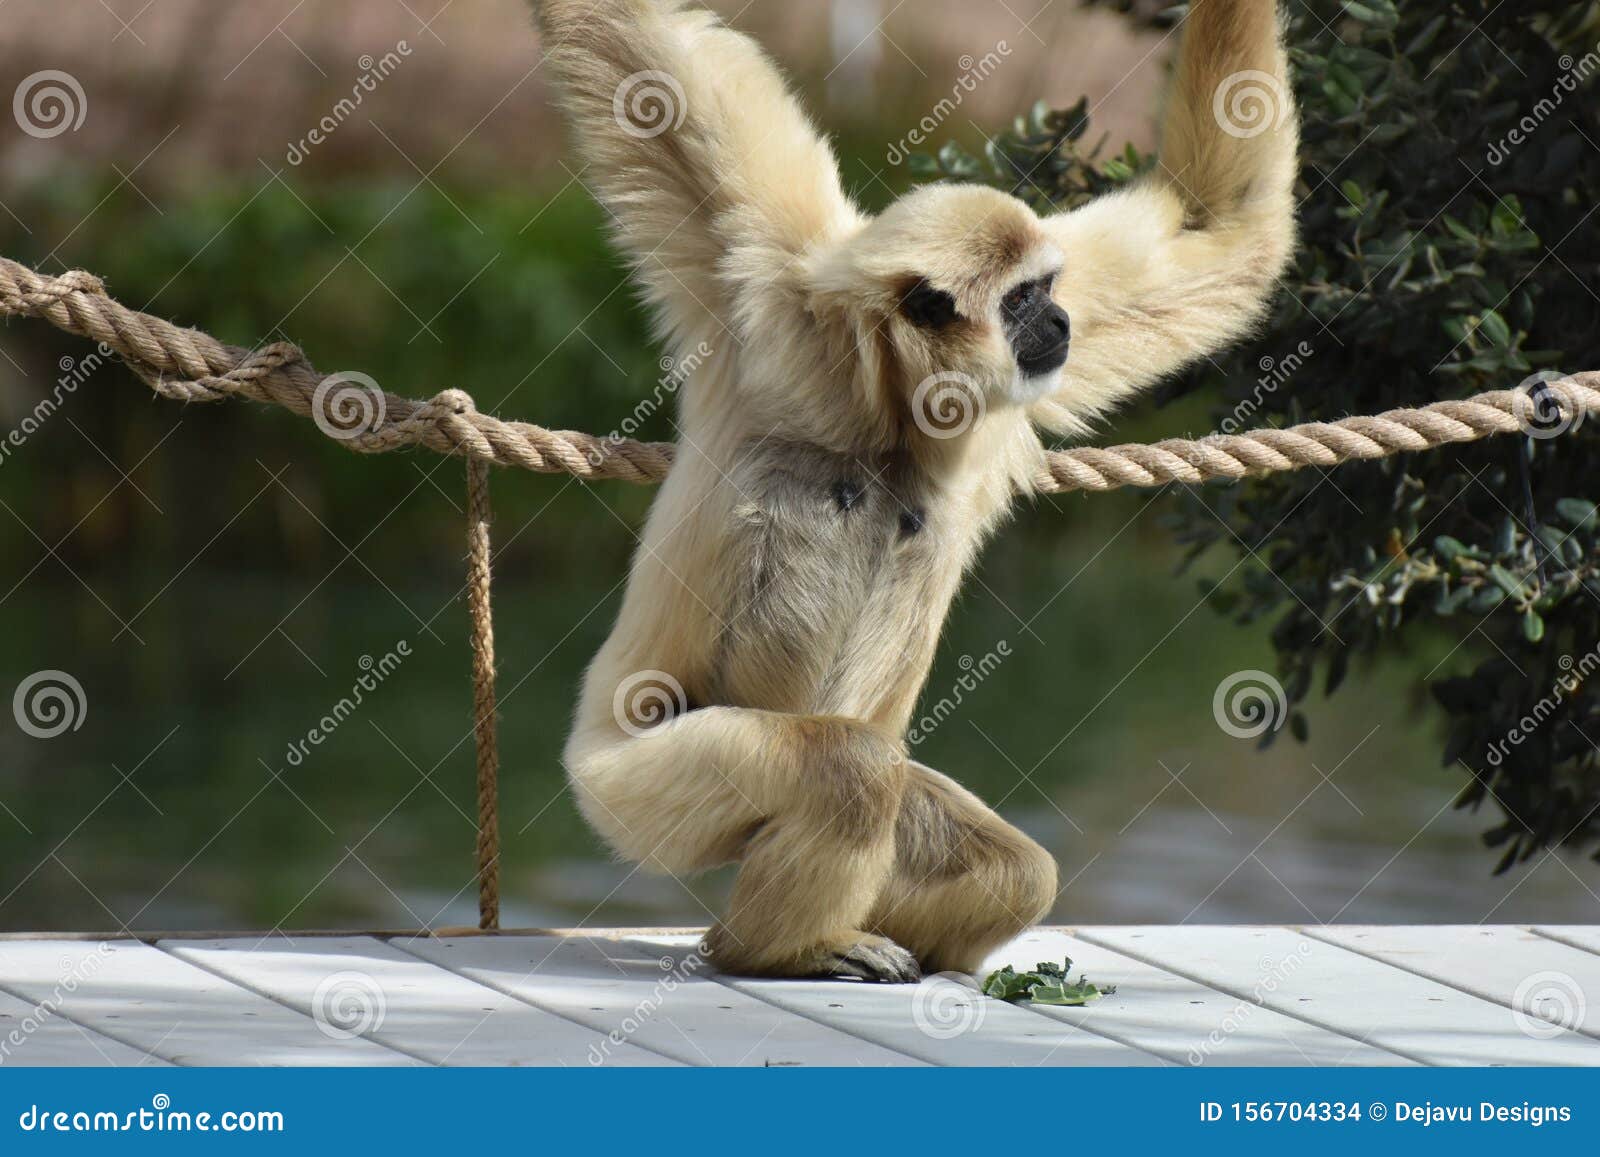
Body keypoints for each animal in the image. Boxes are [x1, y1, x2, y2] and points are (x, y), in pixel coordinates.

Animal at [533, 0, 1299, 981]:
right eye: (1021, 301)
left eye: (1049, 289)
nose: (1060, 320)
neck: (891, 408)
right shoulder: (765, 292)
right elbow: (638, 55)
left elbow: (1218, 226)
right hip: (636, 788)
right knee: (853, 770)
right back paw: (779, 947)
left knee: (1003, 862)